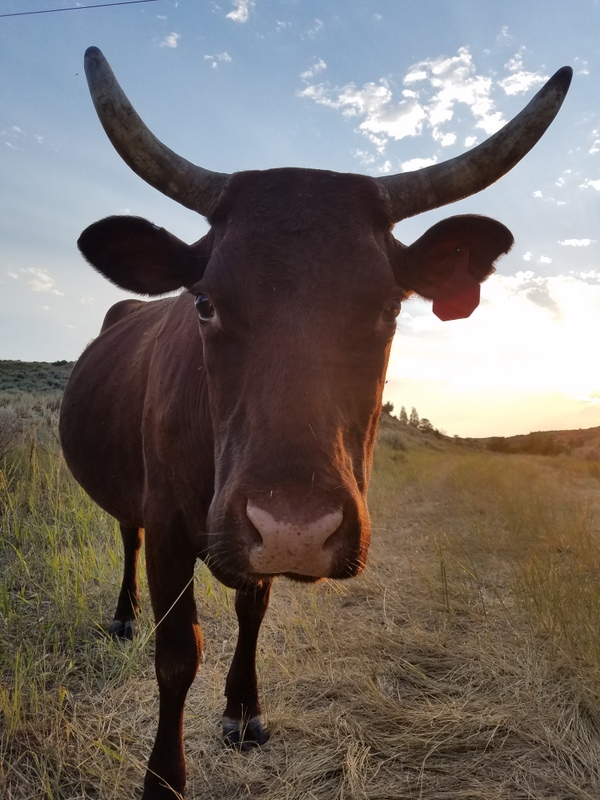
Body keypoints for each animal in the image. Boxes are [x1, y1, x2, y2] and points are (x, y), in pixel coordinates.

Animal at [59, 47, 571, 799]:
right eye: (205, 301)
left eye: (391, 306)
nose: (294, 528)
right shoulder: (173, 524)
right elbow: (178, 653)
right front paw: (164, 777)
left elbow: (253, 611)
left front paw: (244, 709)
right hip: (134, 498)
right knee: (127, 538)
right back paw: (122, 616)